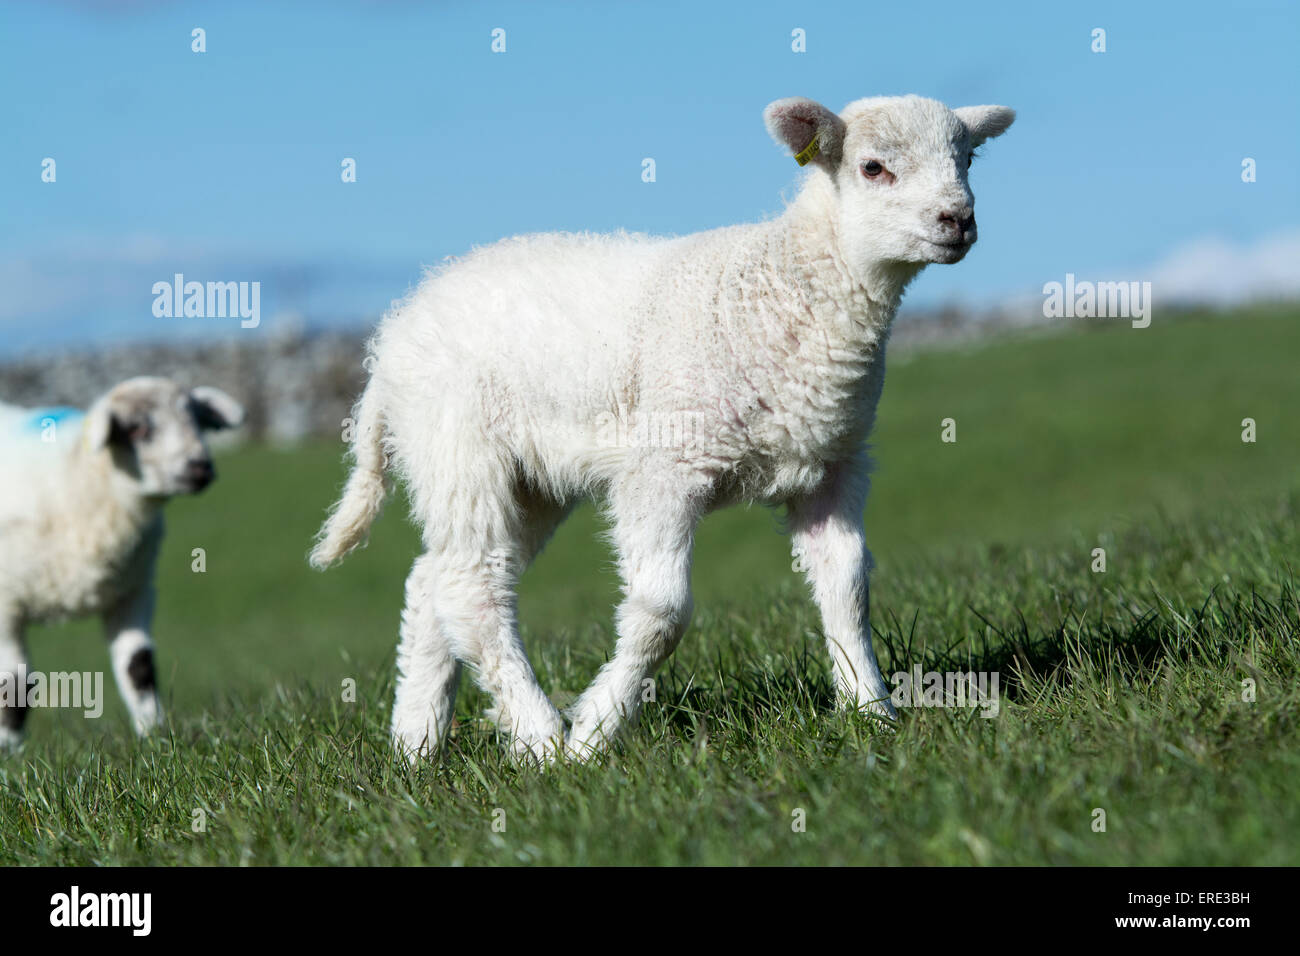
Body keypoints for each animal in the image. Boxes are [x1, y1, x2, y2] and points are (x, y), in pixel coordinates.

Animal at [0, 376, 244, 747]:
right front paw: (11, 749)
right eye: (137, 428)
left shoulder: (133, 592)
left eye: (195, 420)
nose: (200, 467)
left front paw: (152, 734)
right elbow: (15, 684)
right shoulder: (6, 604)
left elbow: (138, 666)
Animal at [311, 94, 1015, 762]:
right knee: (470, 591)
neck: (784, 283)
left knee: (435, 580)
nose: (958, 220)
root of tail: (389, 341)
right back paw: (539, 740)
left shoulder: (834, 466)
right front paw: (594, 734)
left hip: (526, 480)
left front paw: (872, 713)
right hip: (458, 447)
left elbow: (847, 588)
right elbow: (661, 615)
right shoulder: (663, 468)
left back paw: (418, 746)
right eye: (873, 167)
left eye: (968, 160)